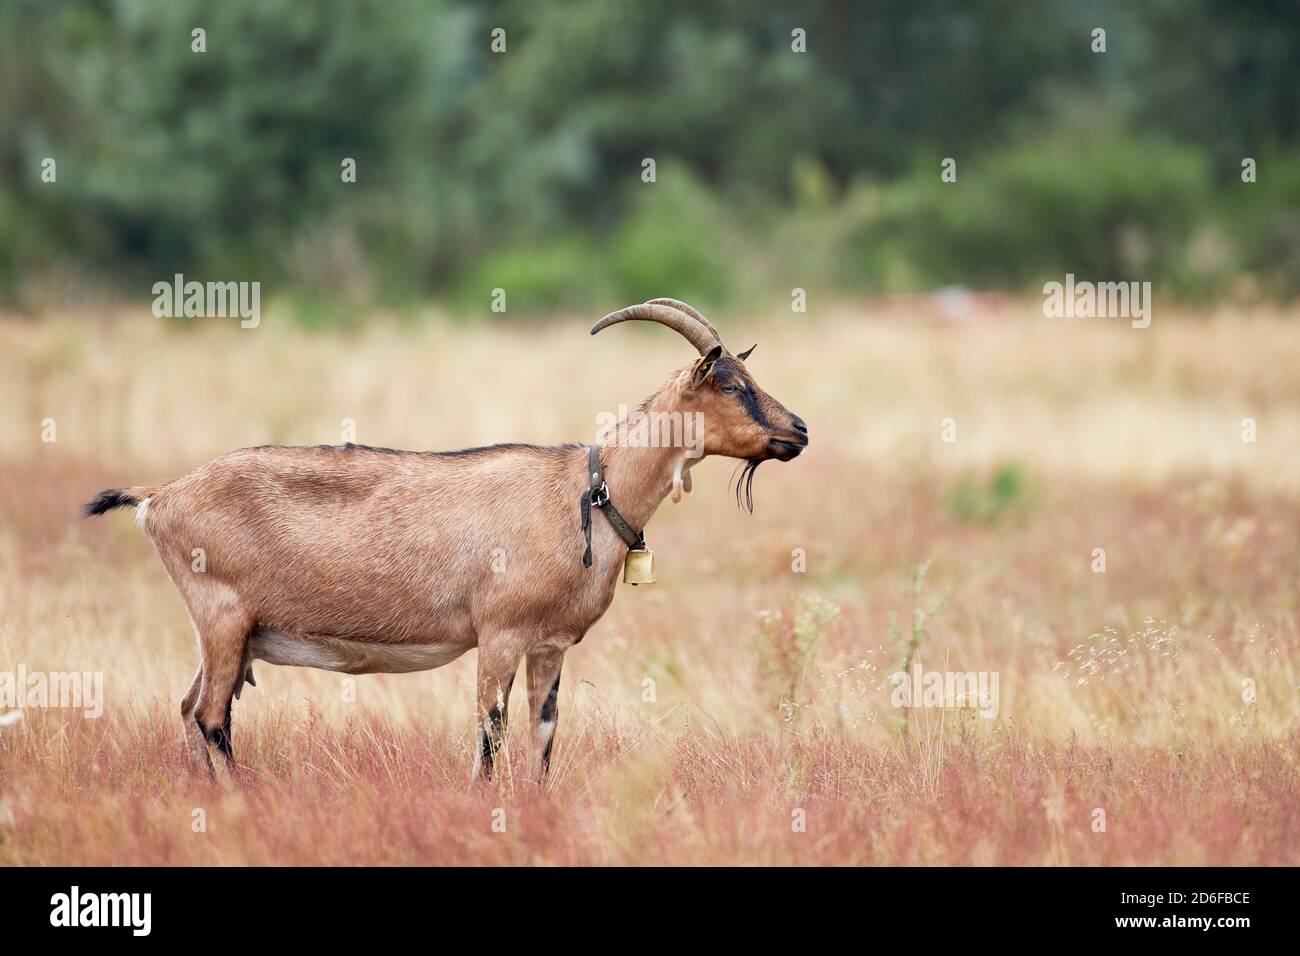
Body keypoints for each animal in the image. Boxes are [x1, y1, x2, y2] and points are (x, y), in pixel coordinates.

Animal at [84, 299, 808, 781]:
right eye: (732, 384)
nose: (798, 430)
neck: (585, 494)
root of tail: (160, 497)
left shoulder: (550, 644)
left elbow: (545, 732)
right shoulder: (500, 633)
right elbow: (491, 730)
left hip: (226, 633)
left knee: (189, 709)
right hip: (222, 615)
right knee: (211, 716)